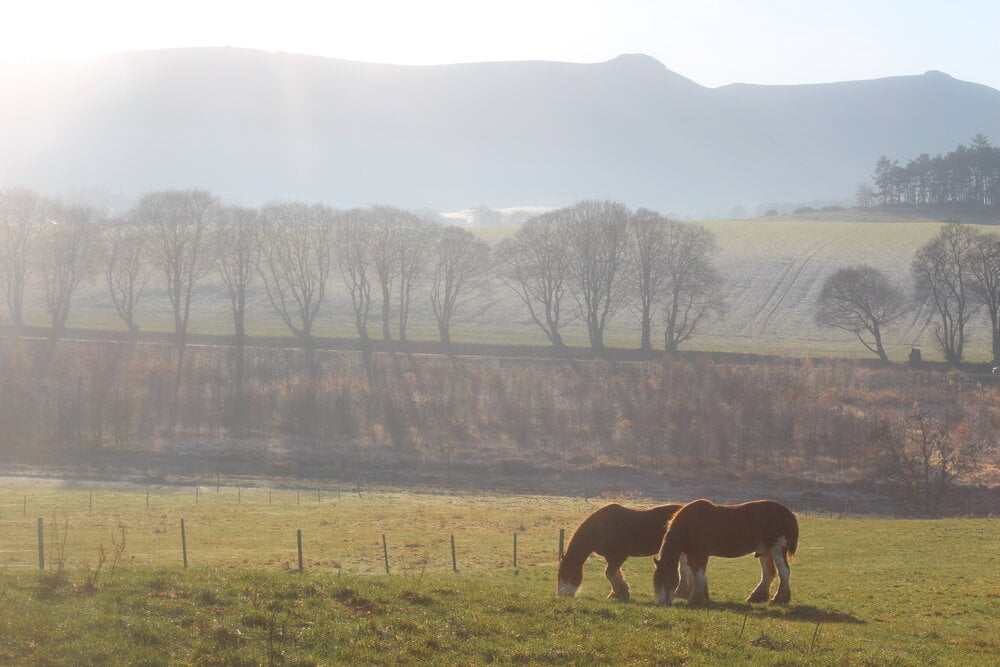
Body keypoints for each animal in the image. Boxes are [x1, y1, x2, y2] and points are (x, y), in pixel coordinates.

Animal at [557, 503, 692, 601]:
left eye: (566, 574)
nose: (561, 595)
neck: (602, 527)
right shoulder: (610, 557)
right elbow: (614, 573)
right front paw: (620, 592)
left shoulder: (620, 556)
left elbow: (609, 573)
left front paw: (620, 592)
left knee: (684, 568)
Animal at [652, 499, 798, 606]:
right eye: (657, 580)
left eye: (668, 578)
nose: (663, 603)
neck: (690, 524)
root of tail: (789, 514)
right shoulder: (692, 556)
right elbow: (696, 576)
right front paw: (703, 597)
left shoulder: (701, 555)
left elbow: (699, 576)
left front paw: (696, 599)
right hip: (765, 551)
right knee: (768, 574)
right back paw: (757, 597)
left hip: (778, 550)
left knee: (784, 572)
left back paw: (779, 599)